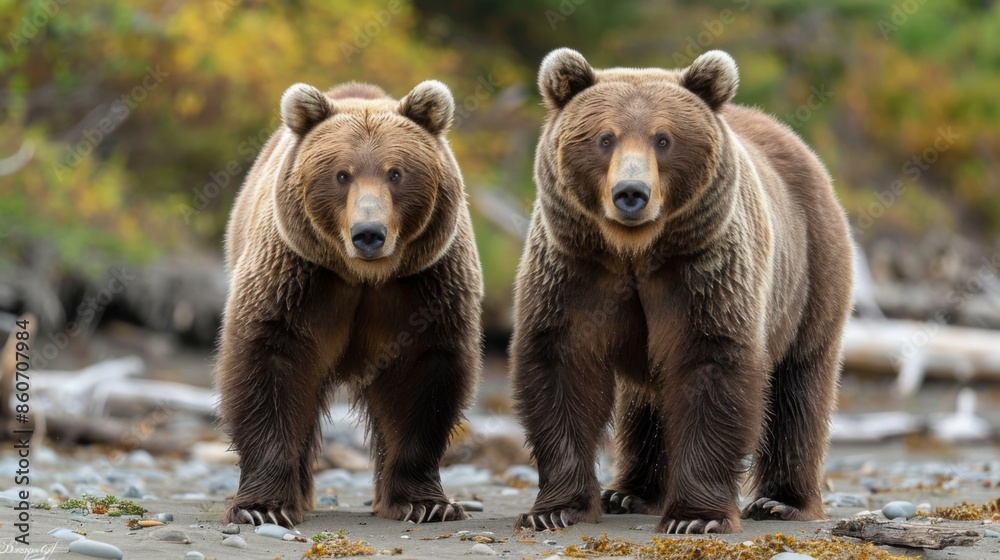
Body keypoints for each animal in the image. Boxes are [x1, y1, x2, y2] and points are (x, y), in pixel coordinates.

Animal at [216, 79, 483, 527]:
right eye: (342, 174)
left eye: (396, 172)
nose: (368, 233)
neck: (363, 276)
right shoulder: (297, 277)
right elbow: (267, 361)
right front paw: (262, 507)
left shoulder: (425, 285)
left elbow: (423, 374)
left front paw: (426, 503)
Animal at [510, 48, 853, 534]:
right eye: (605, 138)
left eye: (663, 139)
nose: (630, 193)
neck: (633, 252)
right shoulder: (574, 269)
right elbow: (561, 363)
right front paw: (555, 510)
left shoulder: (705, 270)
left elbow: (710, 365)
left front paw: (695, 518)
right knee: (644, 401)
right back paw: (630, 492)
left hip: (811, 270)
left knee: (800, 384)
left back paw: (782, 501)